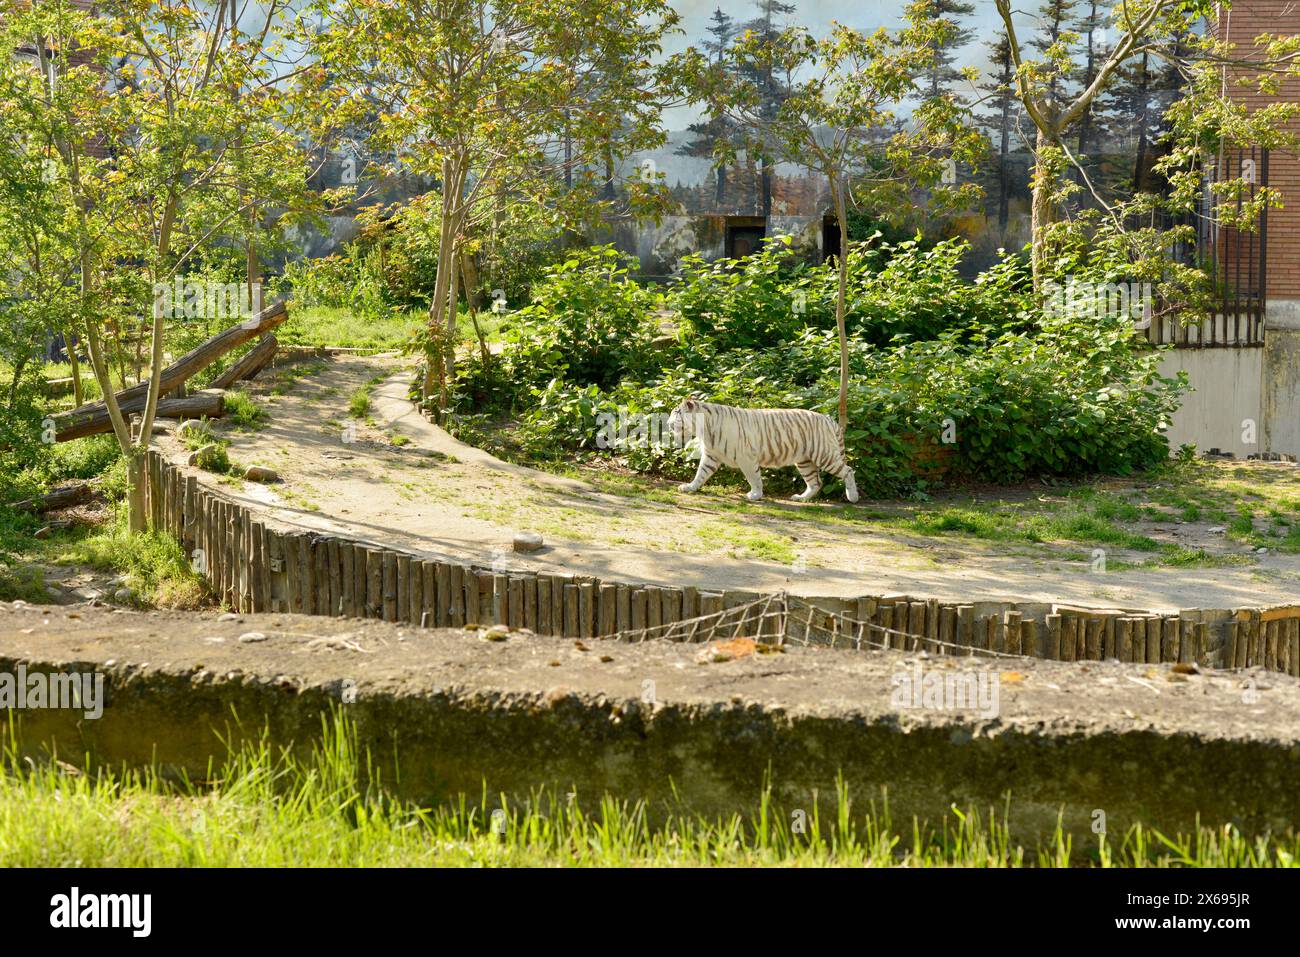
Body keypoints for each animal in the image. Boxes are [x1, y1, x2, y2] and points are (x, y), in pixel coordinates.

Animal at [666, 396, 859, 503]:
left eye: (676, 412)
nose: (667, 423)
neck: (704, 428)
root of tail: (829, 419)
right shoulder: (711, 456)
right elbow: (701, 474)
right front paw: (690, 487)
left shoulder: (746, 458)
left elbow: (754, 478)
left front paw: (755, 495)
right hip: (805, 461)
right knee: (816, 483)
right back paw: (800, 498)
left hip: (824, 455)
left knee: (848, 470)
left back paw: (853, 497)